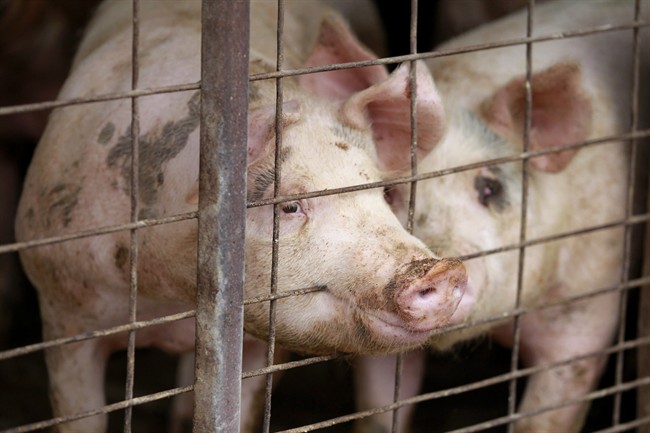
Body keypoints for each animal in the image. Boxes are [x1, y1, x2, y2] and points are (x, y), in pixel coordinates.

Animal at [14, 0, 468, 432]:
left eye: (386, 193)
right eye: (289, 206)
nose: (442, 270)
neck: (172, 295)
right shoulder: (62, 310)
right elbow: (80, 415)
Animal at [354, 0, 650, 432]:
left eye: (489, 188)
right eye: (390, 194)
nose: (439, 266)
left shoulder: (586, 304)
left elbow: (546, 413)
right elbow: (378, 409)